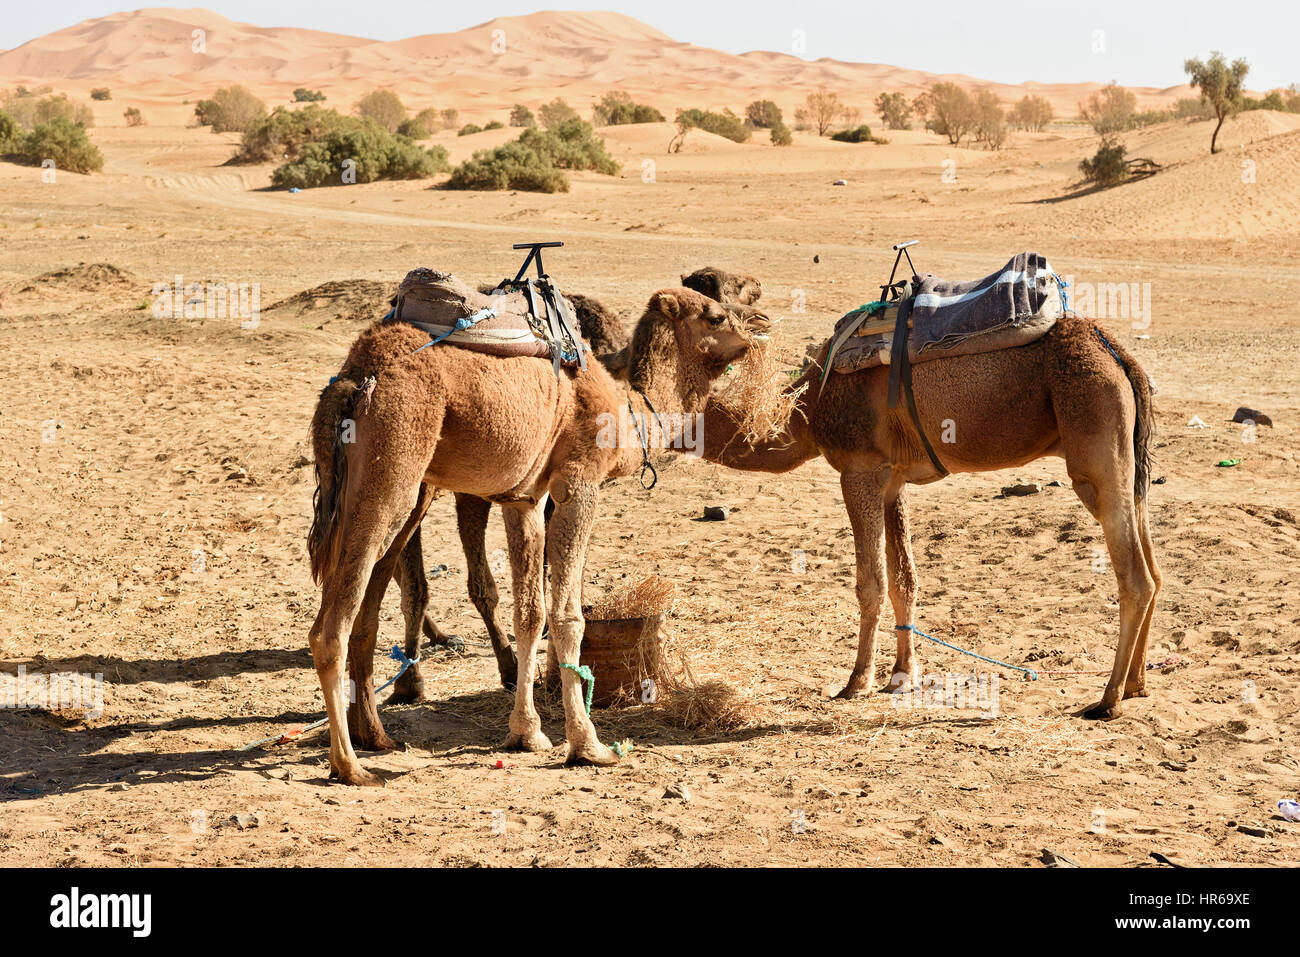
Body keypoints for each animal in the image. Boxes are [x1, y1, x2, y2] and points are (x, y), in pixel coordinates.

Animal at [307, 286, 771, 784]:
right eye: (715, 315)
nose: (762, 322)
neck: (628, 409)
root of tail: (353, 379)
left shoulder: (524, 500)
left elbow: (529, 614)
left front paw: (526, 732)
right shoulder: (579, 483)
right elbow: (568, 616)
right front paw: (588, 745)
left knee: (362, 611)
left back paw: (377, 737)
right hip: (393, 471)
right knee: (332, 627)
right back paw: (350, 765)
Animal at [686, 312, 1159, 720]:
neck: (805, 411)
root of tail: (1120, 356)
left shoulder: (859, 470)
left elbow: (871, 585)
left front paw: (856, 682)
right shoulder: (892, 479)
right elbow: (904, 581)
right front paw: (902, 674)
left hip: (1094, 447)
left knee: (1136, 577)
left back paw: (1108, 699)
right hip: (1129, 467)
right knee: (1155, 571)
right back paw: (1137, 684)